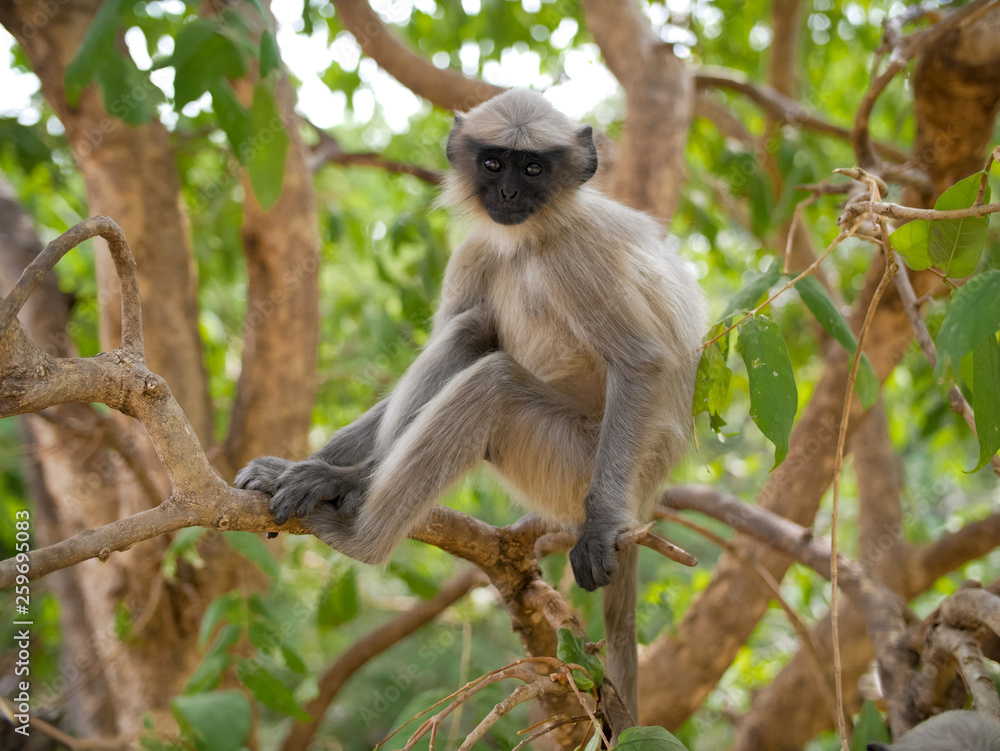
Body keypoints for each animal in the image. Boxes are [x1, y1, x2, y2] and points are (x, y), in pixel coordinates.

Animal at [236, 89, 705, 717]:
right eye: (493, 163)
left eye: (532, 169)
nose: (507, 195)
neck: (532, 240)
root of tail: (645, 496)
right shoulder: (479, 248)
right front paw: (302, 466)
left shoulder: (576, 254)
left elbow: (641, 362)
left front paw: (599, 527)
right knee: (472, 329)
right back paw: (346, 479)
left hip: (569, 465)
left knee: (495, 381)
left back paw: (360, 532)